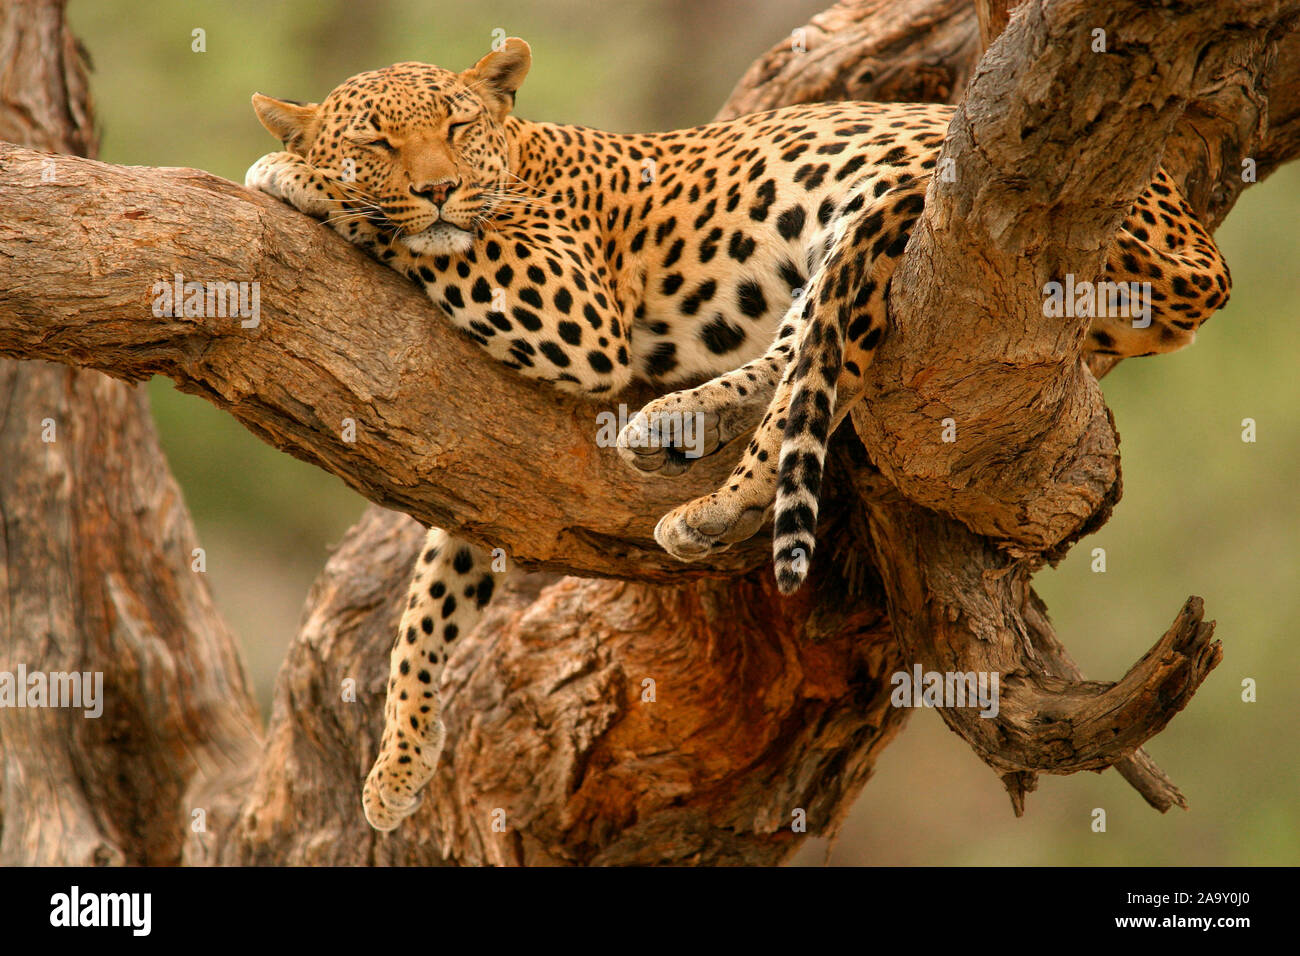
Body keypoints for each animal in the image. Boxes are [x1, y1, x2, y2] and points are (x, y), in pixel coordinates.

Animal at [243, 37, 1230, 832]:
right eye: (376, 142)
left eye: (454, 126)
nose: (438, 186)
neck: (520, 151)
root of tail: (1190, 231)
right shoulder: (486, 468)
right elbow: (432, 600)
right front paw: (398, 764)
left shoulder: (572, 307)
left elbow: (426, 238)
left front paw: (292, 177)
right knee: (805, 356)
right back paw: (681, 424)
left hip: (878, 202)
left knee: (821, 369)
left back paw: (712, 502)